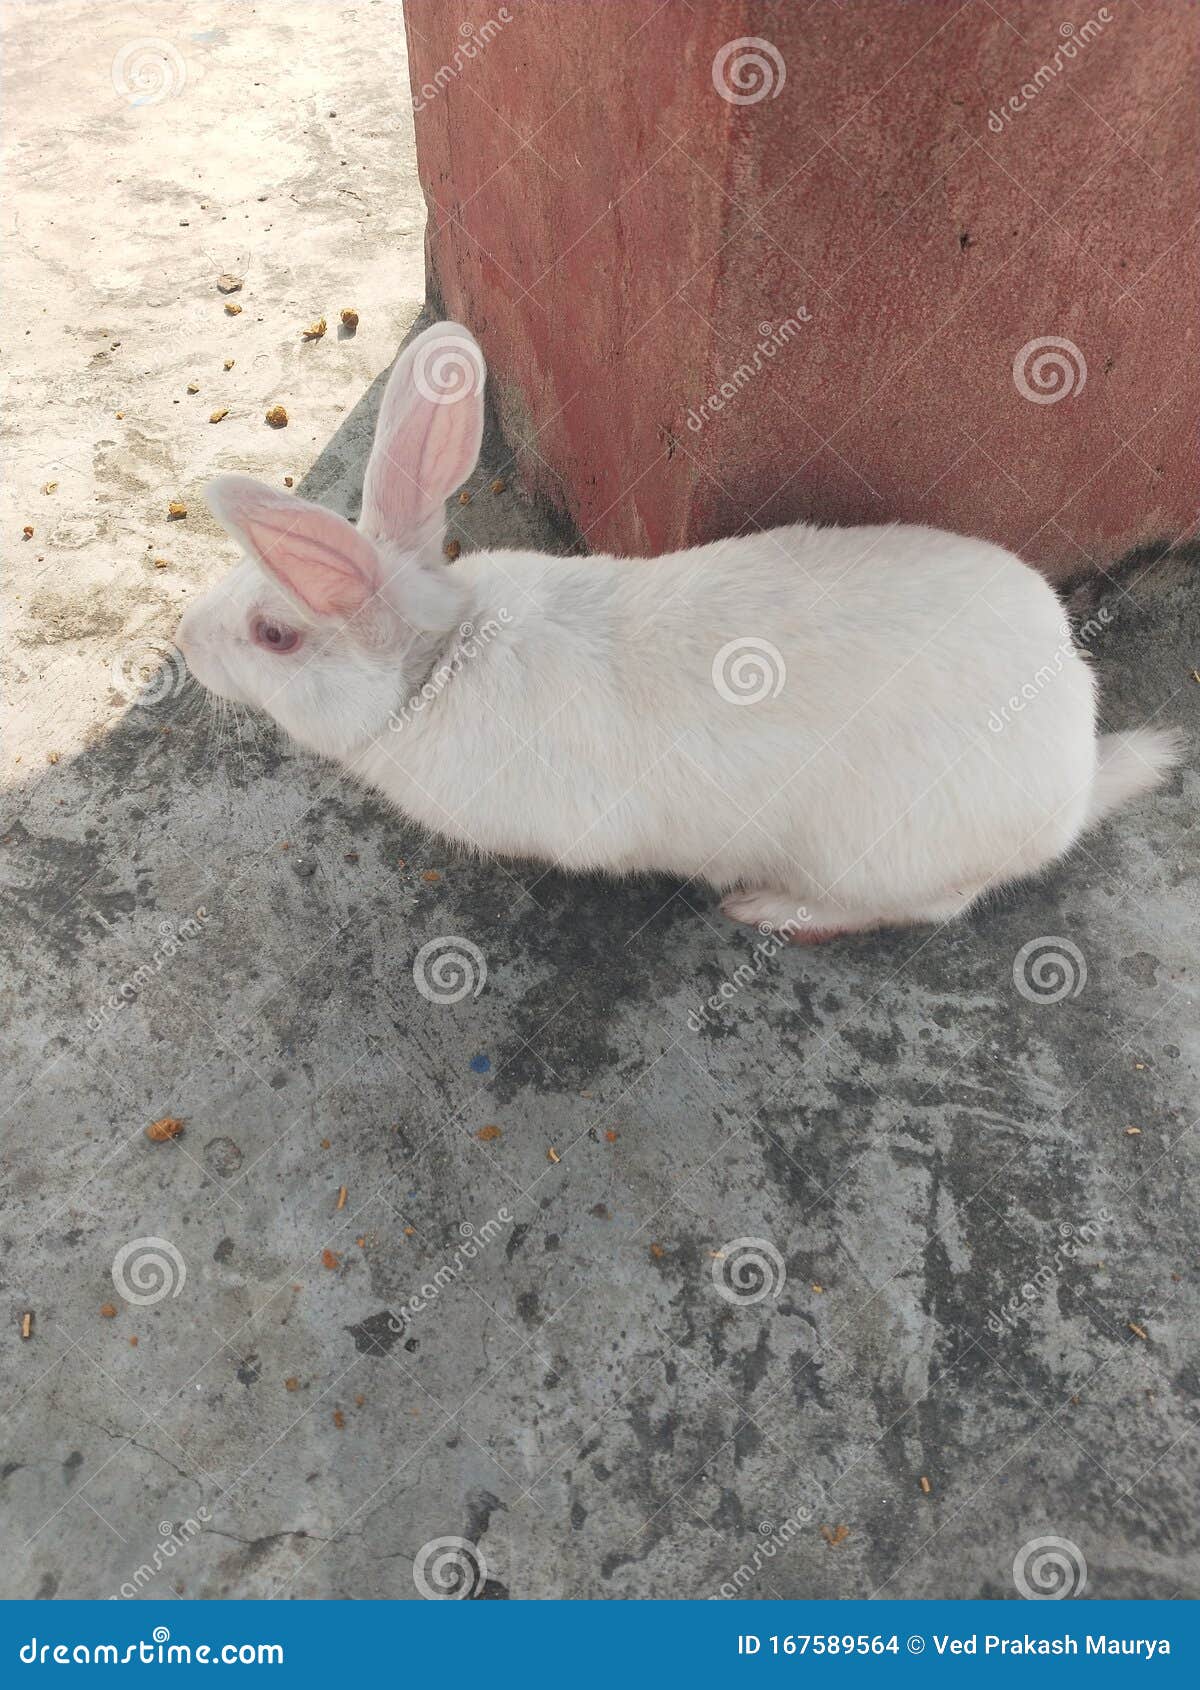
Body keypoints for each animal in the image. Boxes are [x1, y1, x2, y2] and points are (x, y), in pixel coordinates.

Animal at [177, 319, 1182, 942]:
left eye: (273, 635)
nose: (184, 641)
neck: (439, 660)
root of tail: (1075, 774)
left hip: (885, 852)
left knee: (932, 906)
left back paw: (770, 909)